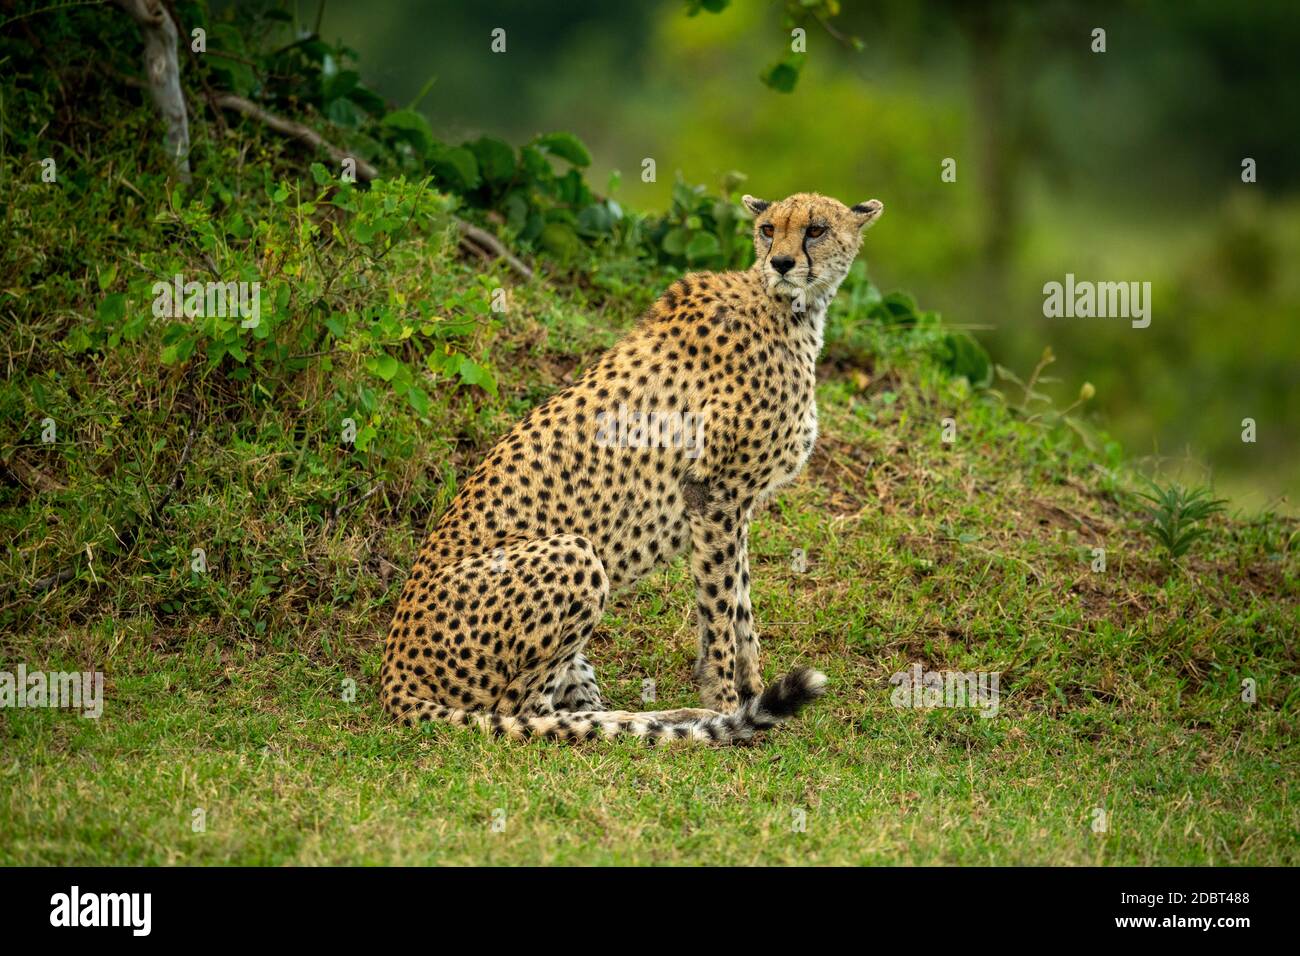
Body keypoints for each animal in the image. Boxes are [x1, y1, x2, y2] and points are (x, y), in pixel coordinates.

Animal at [380, 191, 885, 745]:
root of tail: (392, 673)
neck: (790, 309)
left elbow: (742, 604)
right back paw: (678, 721)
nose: (782, 263)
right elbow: (720, 610)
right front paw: (731, 708)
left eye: (816, 230)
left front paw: (750, 692)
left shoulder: (735, 504)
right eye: (769, 229)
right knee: (525, 710)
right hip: (575, 554)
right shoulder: (713, 494)